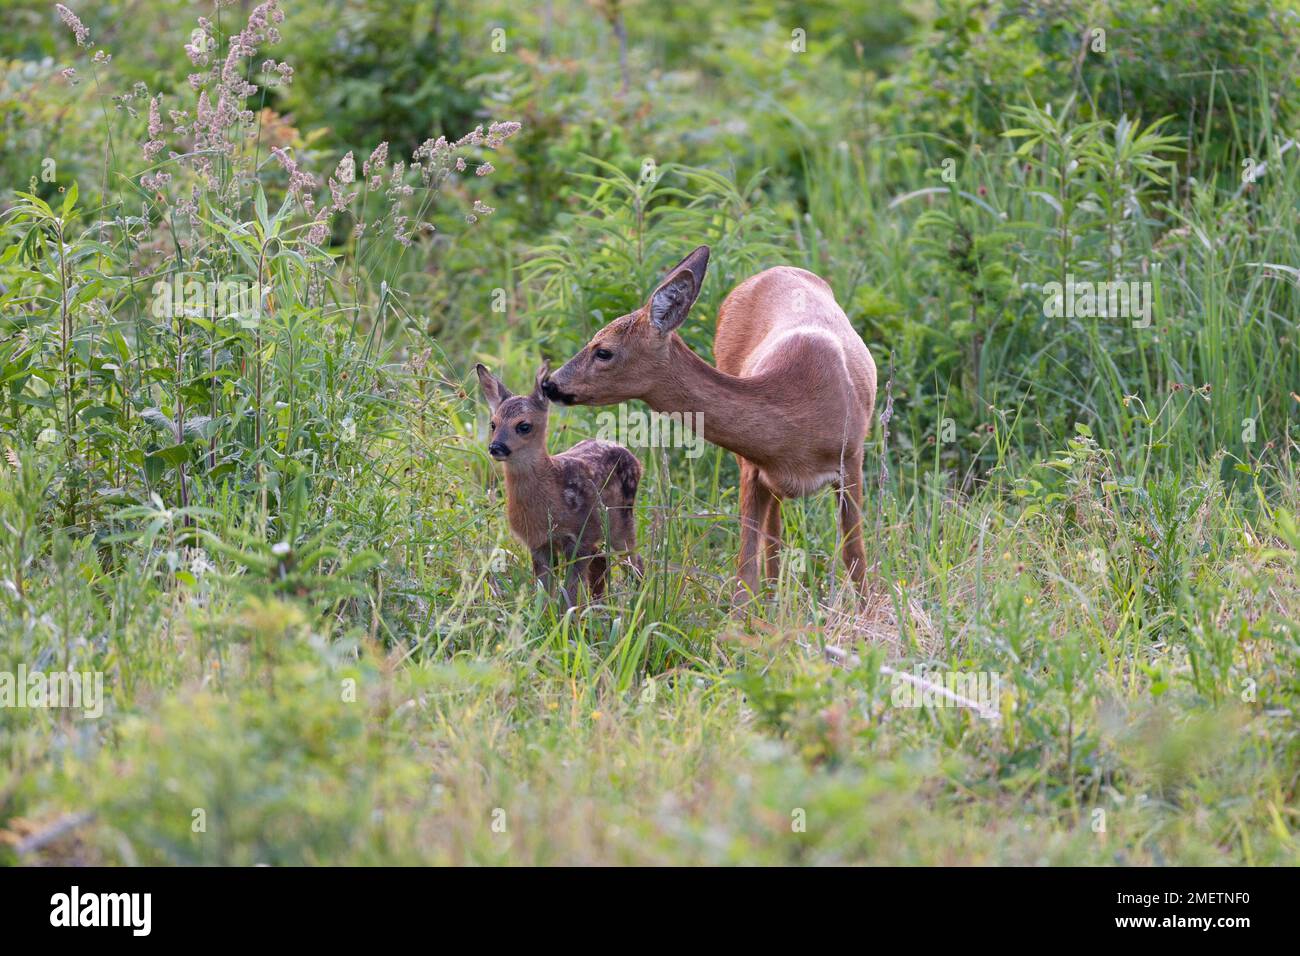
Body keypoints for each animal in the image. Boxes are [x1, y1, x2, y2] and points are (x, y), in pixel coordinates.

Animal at [476, 362, 643, 608]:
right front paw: (544, 615)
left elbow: (571, 593)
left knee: (635, 561)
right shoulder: (538, 543)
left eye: (524, 426)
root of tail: (634, 458)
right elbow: (544, 591)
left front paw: (569, 617)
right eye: (493, 424)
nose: (496, 447)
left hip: (622, 520)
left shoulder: (581, 537)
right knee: (602, 564)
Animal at [542, 246, 877, 602]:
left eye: (603, 351)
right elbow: (745, 574)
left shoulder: (851, 459)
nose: (551, 384)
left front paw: (865, 610)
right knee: (772, 540)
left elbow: (855, 559)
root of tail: (772, 270)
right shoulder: (751, 466)